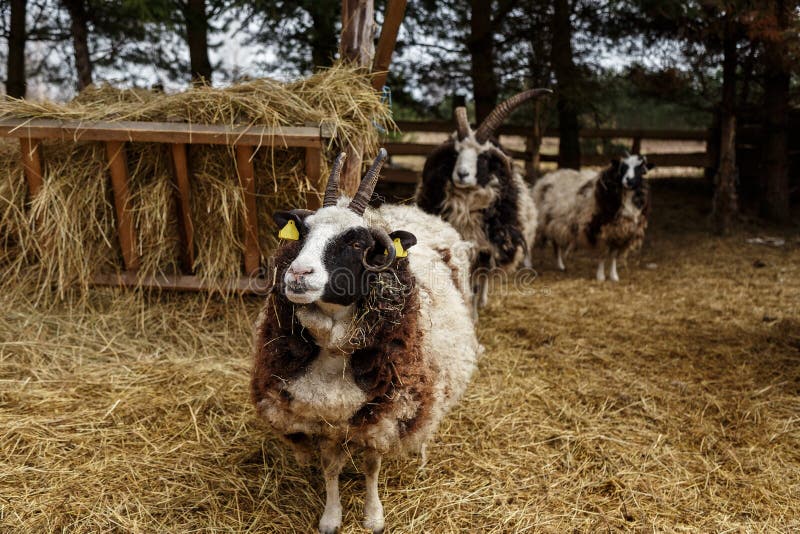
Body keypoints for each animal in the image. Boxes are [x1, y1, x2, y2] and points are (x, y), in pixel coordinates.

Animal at [251, 150, 479, 534]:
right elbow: (331, 468)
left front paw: (373, 517)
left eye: (357, 242)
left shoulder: (383, 415)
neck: (332, 353)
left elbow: (372, 467)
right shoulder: (324, 419)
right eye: (303, 234)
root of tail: (413, 211)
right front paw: (331, 517)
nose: (297, 274)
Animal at [415, 88, 551, 313]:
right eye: (455, 154)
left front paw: (475, 312)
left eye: (484, 157)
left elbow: (477, 284)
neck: (466, 207)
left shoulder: (485, 249)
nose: (461, 174)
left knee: (484, 278)